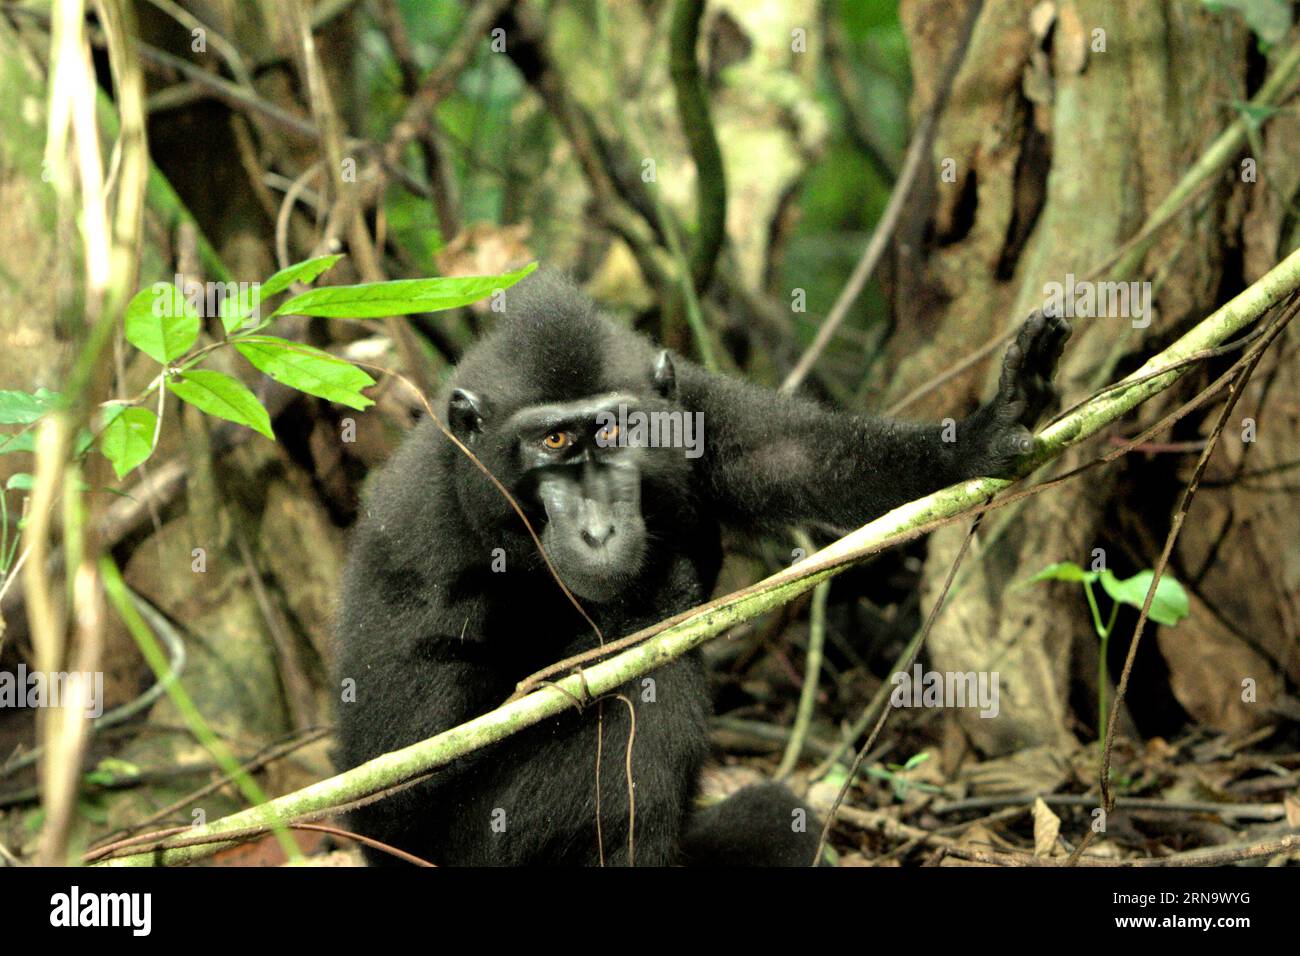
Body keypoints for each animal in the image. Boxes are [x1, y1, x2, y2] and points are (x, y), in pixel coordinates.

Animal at [334, 270, 1070, 866]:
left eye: (613, 431)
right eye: (552, 439)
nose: (597, 530)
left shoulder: (685, 397)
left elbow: (787, 453)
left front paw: (977, 436)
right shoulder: (428, 547)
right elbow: (414, 772)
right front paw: (665, 589)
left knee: (775, 814)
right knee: (646, 695)